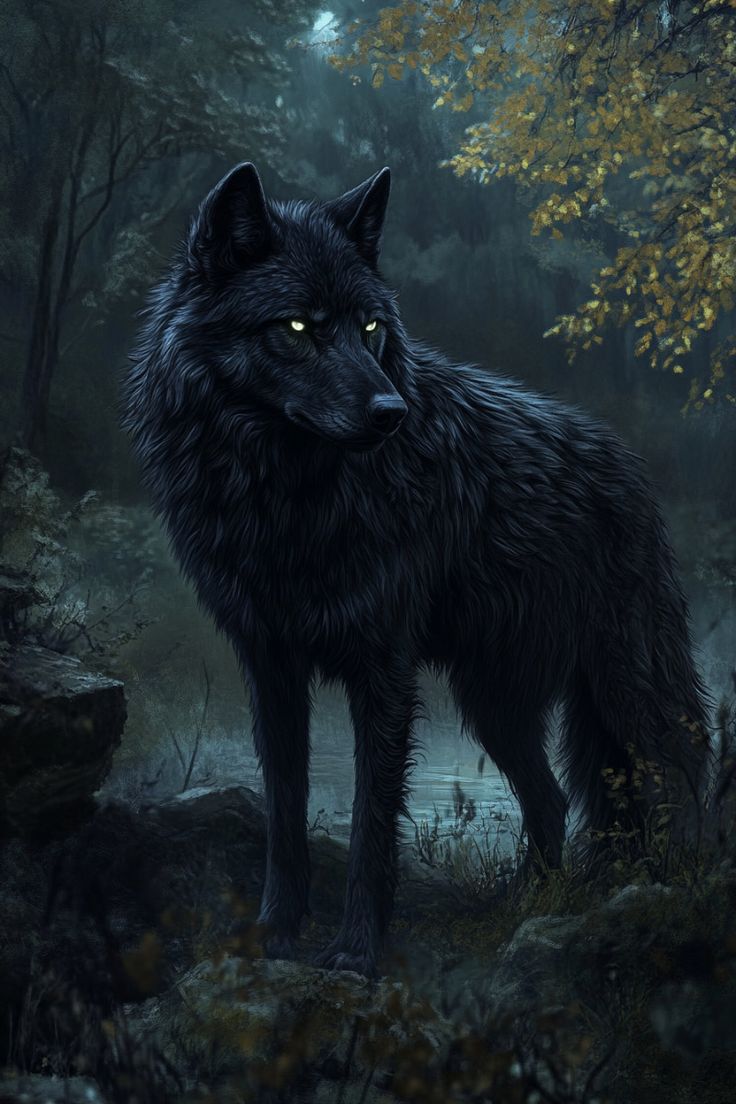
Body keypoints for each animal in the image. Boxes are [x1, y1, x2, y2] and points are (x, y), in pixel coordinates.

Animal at [123, 162, 709, 976]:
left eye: (371, 328)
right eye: (297, 327)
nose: (389, 412)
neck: (289, 500)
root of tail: (625, 463)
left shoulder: (383, 667)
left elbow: (372, 820)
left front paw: (356, 952)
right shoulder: (269, 664)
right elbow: (285, 809)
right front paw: (275, 935)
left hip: (623, 687)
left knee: (679, 776)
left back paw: (673, 894)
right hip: (494, 699)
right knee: (553, 799)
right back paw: (522, 905)